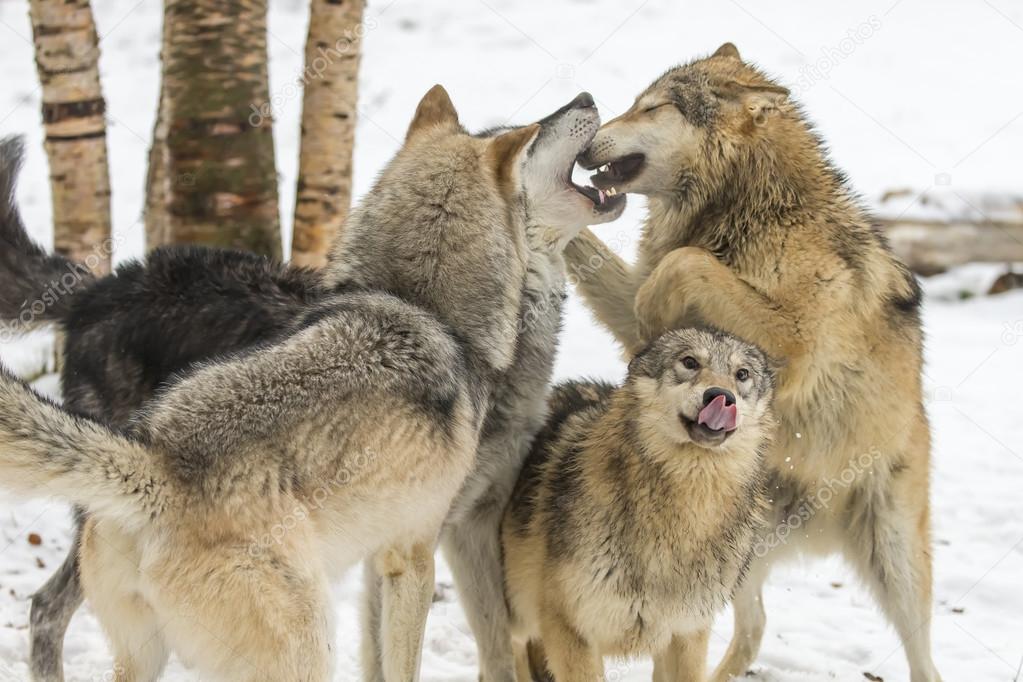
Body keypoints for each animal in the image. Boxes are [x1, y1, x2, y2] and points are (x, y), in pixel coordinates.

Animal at [0, 87, 624, 680]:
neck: (426, 304)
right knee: (47, 607)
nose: (586, 97)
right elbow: (409, 663)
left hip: (148, 655)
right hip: (305, 641)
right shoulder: (416, 553)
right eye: (531, 133)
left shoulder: (438, 535)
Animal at [502, 328, 774, 682]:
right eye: (689, 362)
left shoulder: (687, 632)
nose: (721, 395)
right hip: (517, 616)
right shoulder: (572, 630)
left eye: (742, 374)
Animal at [568, 43, 942, 682]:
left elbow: (684, 264)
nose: (585, 143)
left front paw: (655, 303)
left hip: (897, 564)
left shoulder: (793, 346)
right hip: (735, 558)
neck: (753, 210)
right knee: (754, 630)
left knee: (925, 660)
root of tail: (813, 528)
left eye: (652, 107)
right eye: (636, 103)